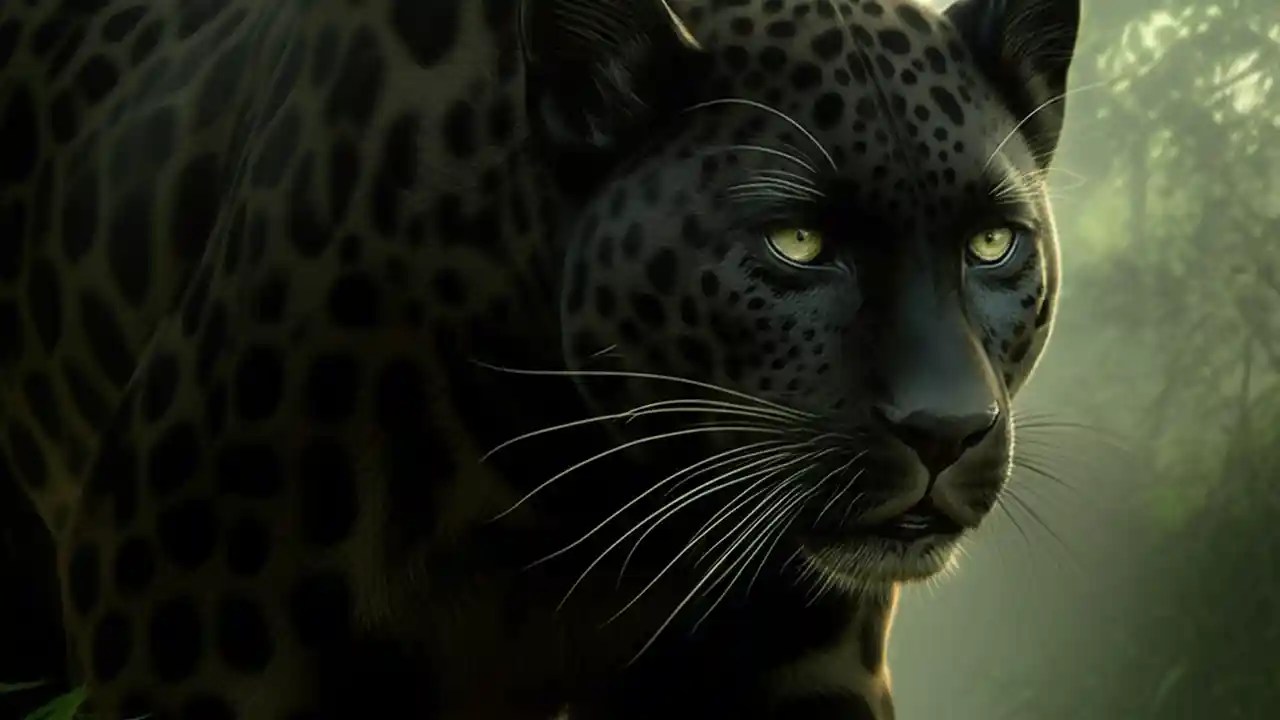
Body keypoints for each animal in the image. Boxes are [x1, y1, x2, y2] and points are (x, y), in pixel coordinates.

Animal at [0, 0, 1080, 718]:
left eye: (992, 244)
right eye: (799, 242)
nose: (944, 431)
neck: (568, 498)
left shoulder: (805, 662)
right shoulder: (191, 655)